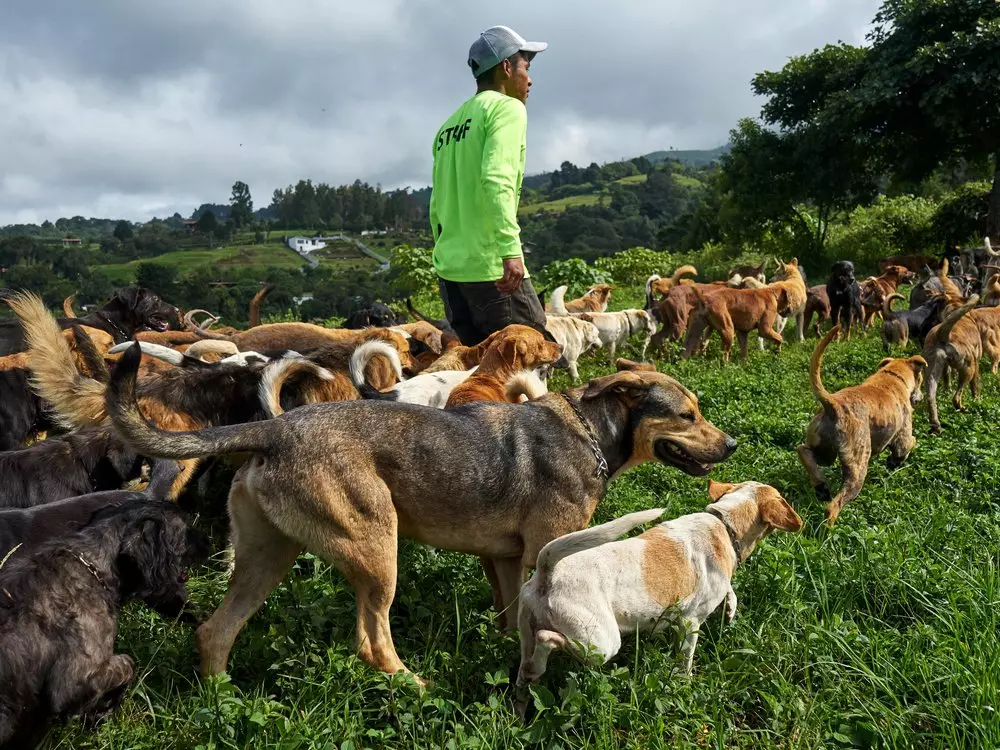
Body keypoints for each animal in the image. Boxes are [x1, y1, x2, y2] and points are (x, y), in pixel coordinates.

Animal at [105, 344, 740, 684]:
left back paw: (222, 700)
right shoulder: (548, 551)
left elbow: (510, 617)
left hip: (268, 558)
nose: (732, 444)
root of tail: (274, 428)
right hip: (376, 551)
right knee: (372, 642)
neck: (591, 431)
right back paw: (416, 686)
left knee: (214, 631)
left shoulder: (505, 561)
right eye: (686, 415)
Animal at [516, 484, 804, 704]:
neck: (724, 523)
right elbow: (686, 658)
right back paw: (540, 663)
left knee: (526, 665)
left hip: (528, 633)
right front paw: (684, 684)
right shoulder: (690, 622)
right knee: (547, 638)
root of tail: (547, 571)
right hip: (601, 643)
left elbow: (730, 591)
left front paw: (731, 606)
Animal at [796, 326, 928, 524]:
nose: (921, 397)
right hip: (857, 466)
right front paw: (896, 461)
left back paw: (821, 485)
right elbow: (909, 443)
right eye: (921, 380)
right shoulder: (903, 439)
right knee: (833, 507)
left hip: (825, 452)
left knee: (803, 451)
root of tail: (833, 404)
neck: (893, 376)